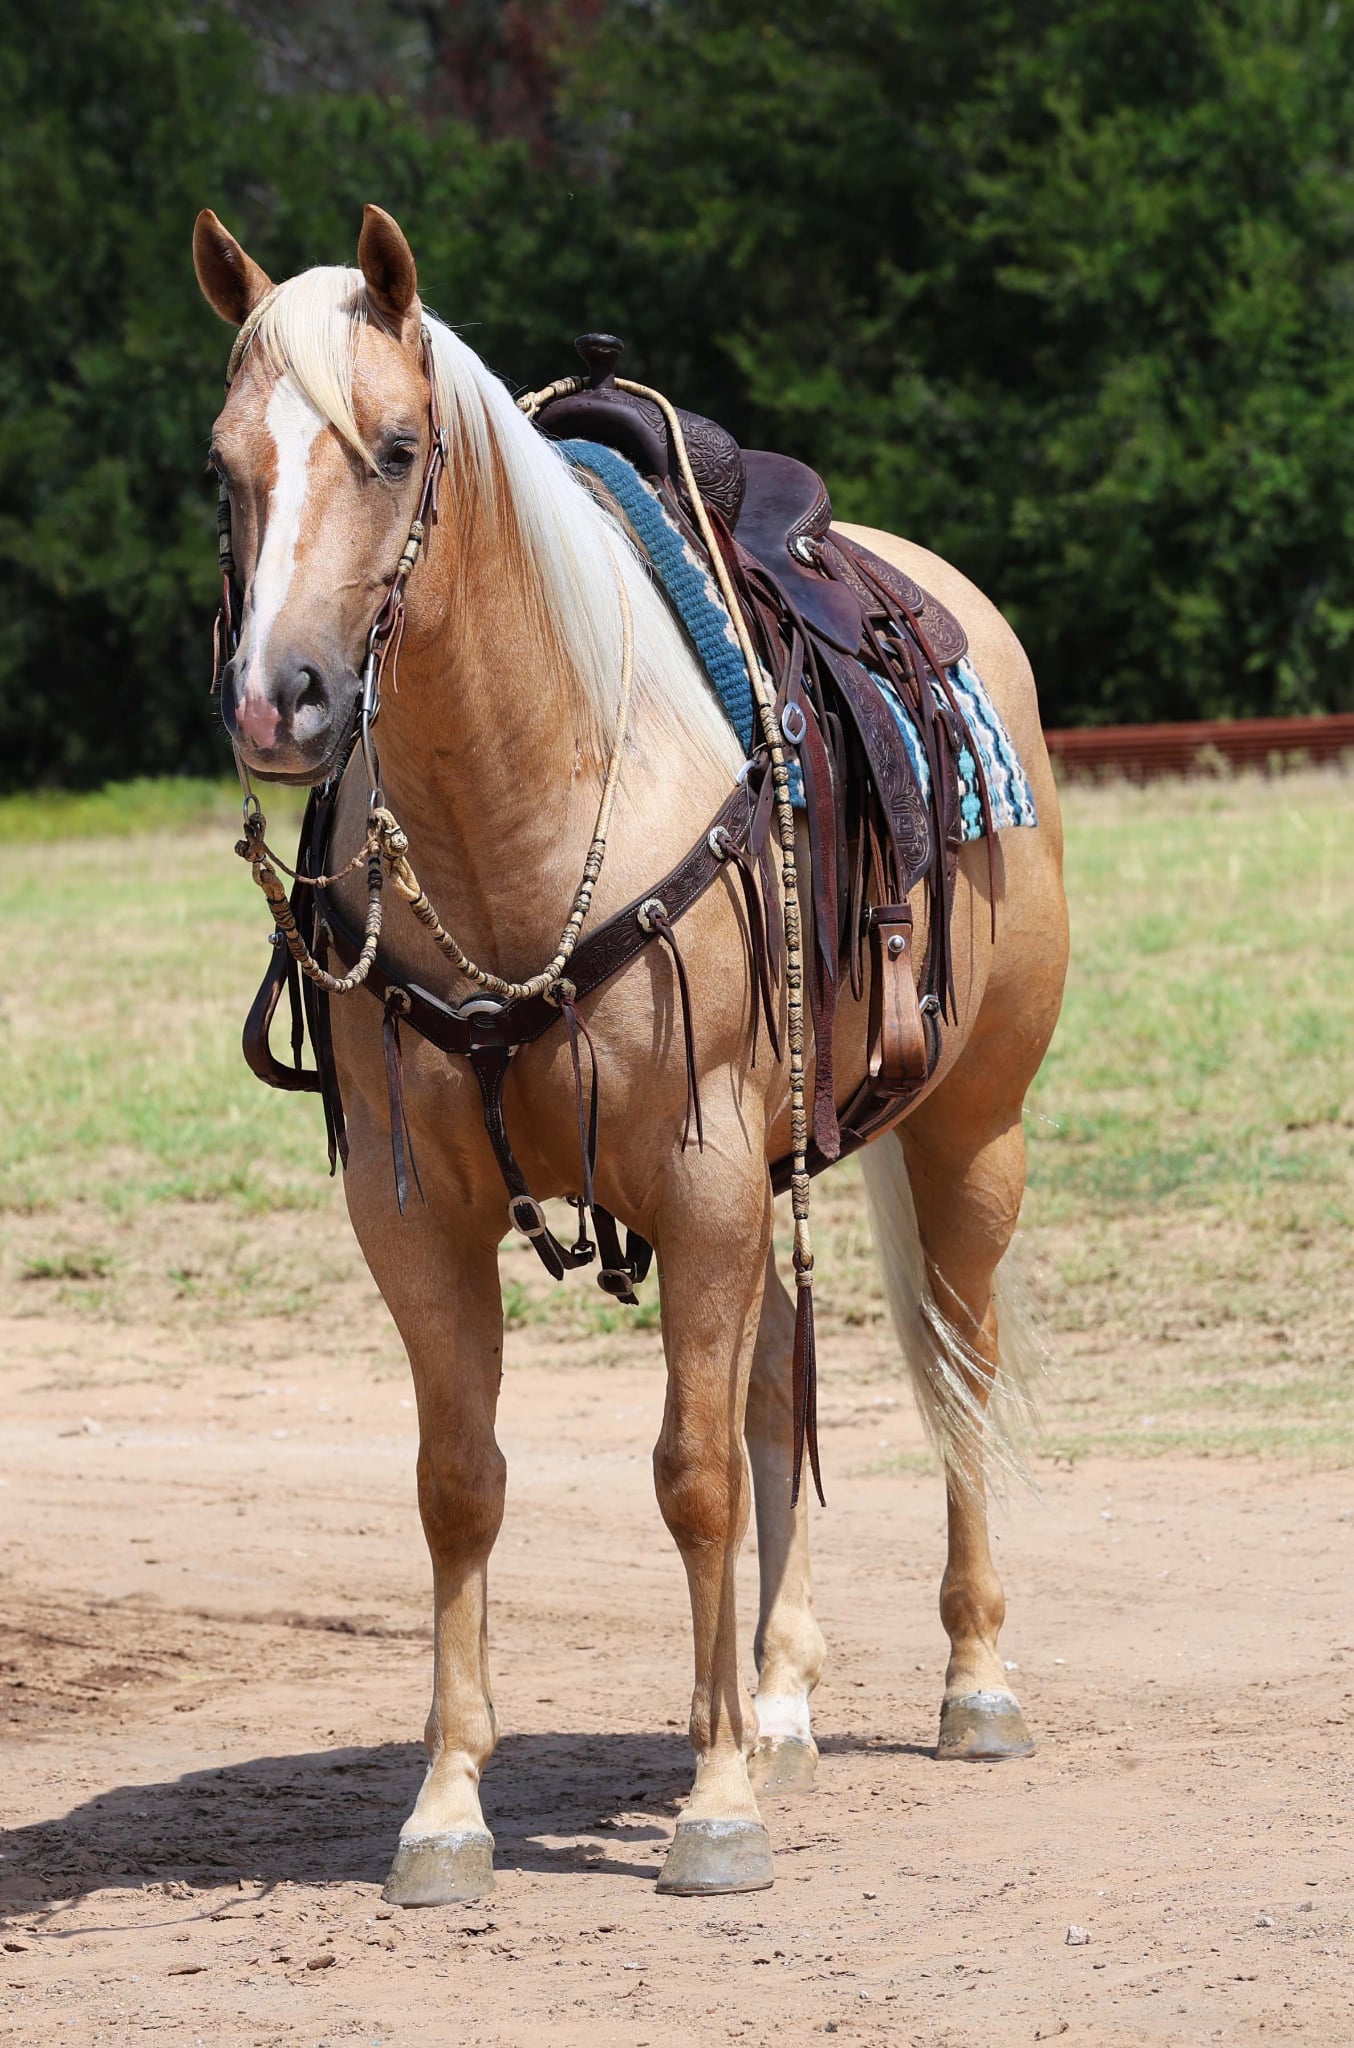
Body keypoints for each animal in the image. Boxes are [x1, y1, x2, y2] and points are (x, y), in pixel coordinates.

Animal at [192, 202, 1069, 1905]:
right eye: (223, 466)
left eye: (395, 447)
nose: (281, 699)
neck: (528, 793)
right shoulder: (413, 1211)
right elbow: (462, 1483)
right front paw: (446, 1811)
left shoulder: (703, 1173)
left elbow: (696, 1474)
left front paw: (713, 1808)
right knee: (784, 1380)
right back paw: (779, 1698)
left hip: (967, 1135)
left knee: (952, 1365)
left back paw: (972, 1686)